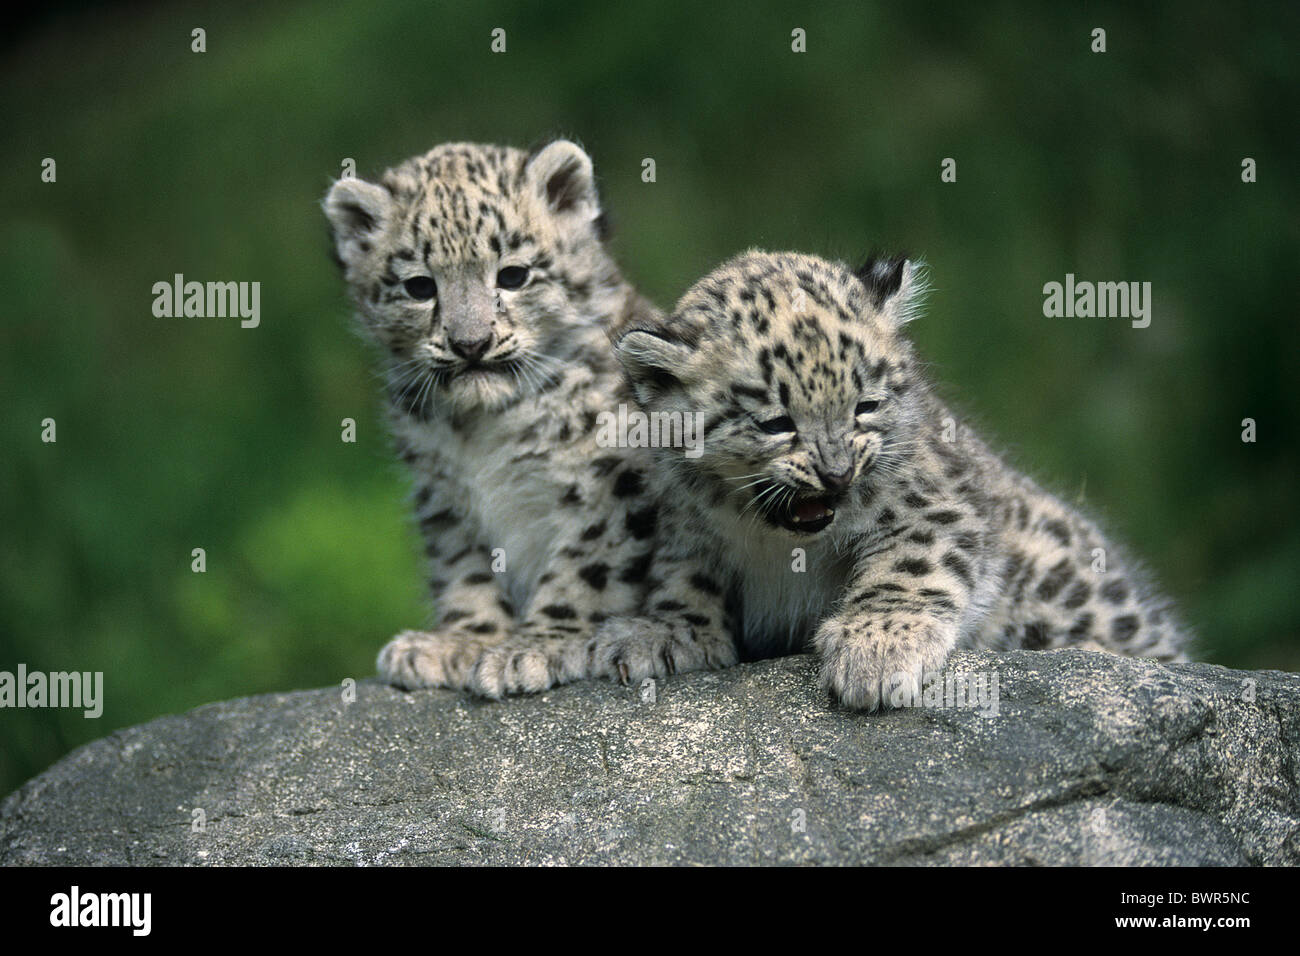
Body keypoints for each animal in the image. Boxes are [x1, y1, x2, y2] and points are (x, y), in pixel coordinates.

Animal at [324, 139, 662, 695]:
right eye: (419, 286)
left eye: (514, 274)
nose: (471, 343)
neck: (482, 431)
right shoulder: (443, 494)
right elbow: (465, 568)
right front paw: (458, 642)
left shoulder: (612, 481)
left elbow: (589, 566)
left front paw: (535, 647)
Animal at [496, 249, 1190, 709]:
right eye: (776, 421)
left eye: (866, 405)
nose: (835, 471)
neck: (778, 545)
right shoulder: (684, 528)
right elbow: (686, 577)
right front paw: (665, 632)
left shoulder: (937, 503)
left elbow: (912, 563)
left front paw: (876, 649)